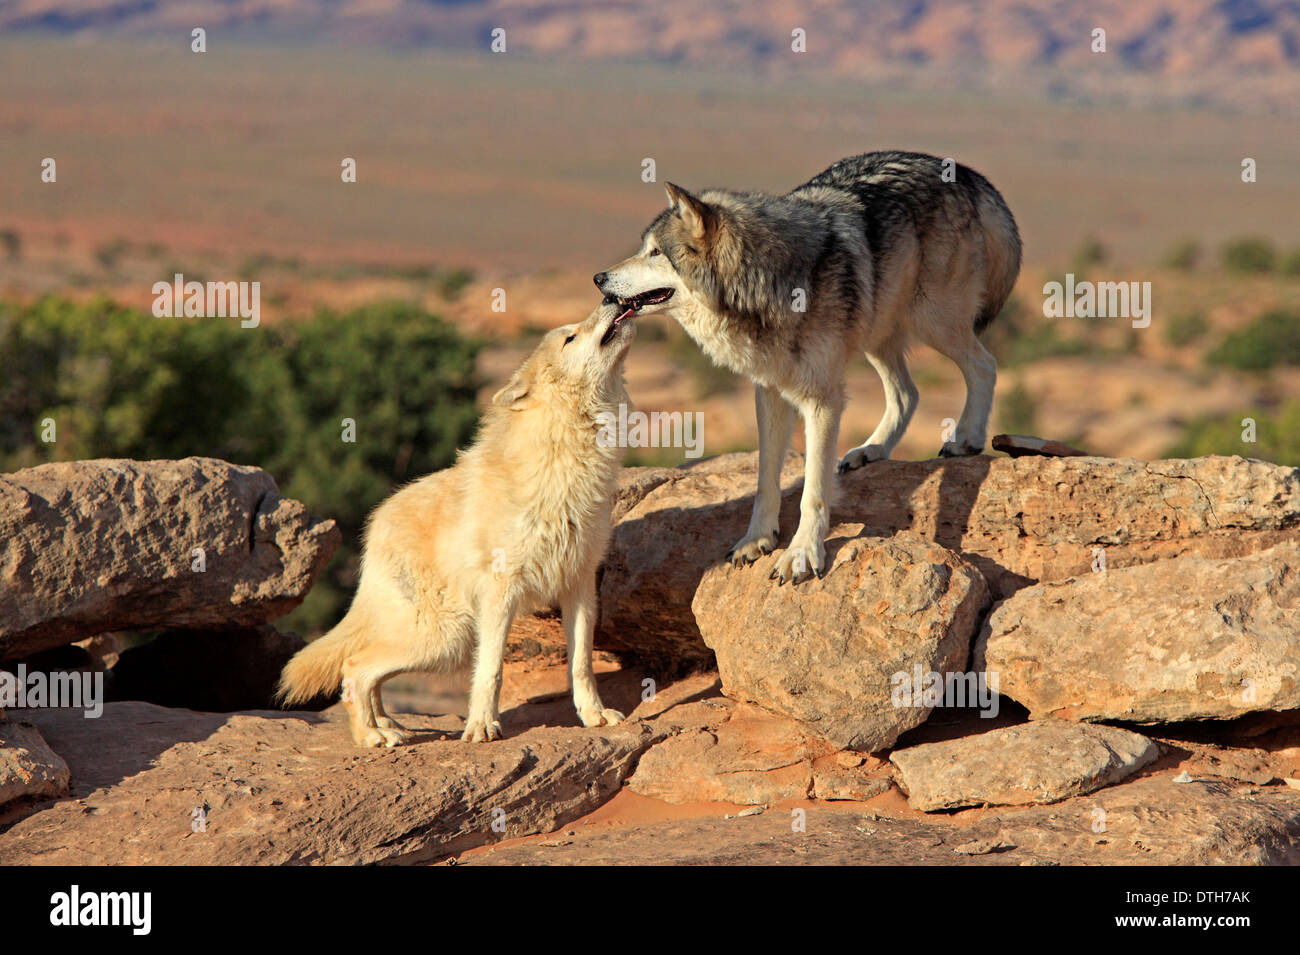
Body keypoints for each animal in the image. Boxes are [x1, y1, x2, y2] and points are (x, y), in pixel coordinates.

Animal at [277, 303, 636, 746]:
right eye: (570, 337)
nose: (612, 301)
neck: (567, 456)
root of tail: (375, 524)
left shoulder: (580, 584)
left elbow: (582, 664)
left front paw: (594, 716)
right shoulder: (502, 591)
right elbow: (491, 671)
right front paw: (481, 726)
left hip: (445, 640)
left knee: (370, 673)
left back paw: (389, 726)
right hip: (445, 638)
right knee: (355, 667)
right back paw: (373, 737)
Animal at [594, 151, 1021, 584]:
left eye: (656, 253)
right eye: (644, 248)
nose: (599, 278)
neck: (766, 284)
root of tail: (962, 171)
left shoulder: (822, 400)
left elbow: (813, 491)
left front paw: (802, 554)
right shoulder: (769, 393)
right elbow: (766, 480)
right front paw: (757, 539)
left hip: (934, 321)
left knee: (984, 366)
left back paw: (966, 438)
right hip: (879, 333)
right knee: (907, 393)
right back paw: (872, 450)